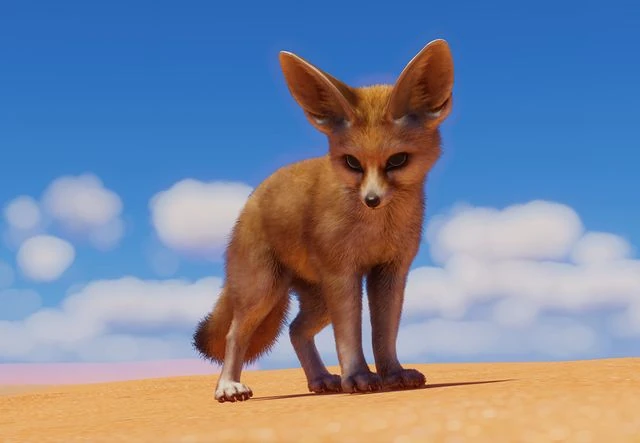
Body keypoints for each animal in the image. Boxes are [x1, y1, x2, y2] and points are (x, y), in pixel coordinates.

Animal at [193, 39, 454, 403]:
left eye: (397, 160)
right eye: (352, 163)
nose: (371, 200)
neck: (378, 227)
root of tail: (254, 196)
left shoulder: (390, 272)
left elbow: (384, 333)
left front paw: (392, 373)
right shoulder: (343, 273)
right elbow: (349, 335)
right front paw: (358, 376)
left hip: (317, 301)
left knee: (295, 329)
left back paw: (319, 379)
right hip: (265, 291)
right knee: (235, 334)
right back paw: (228, 385)